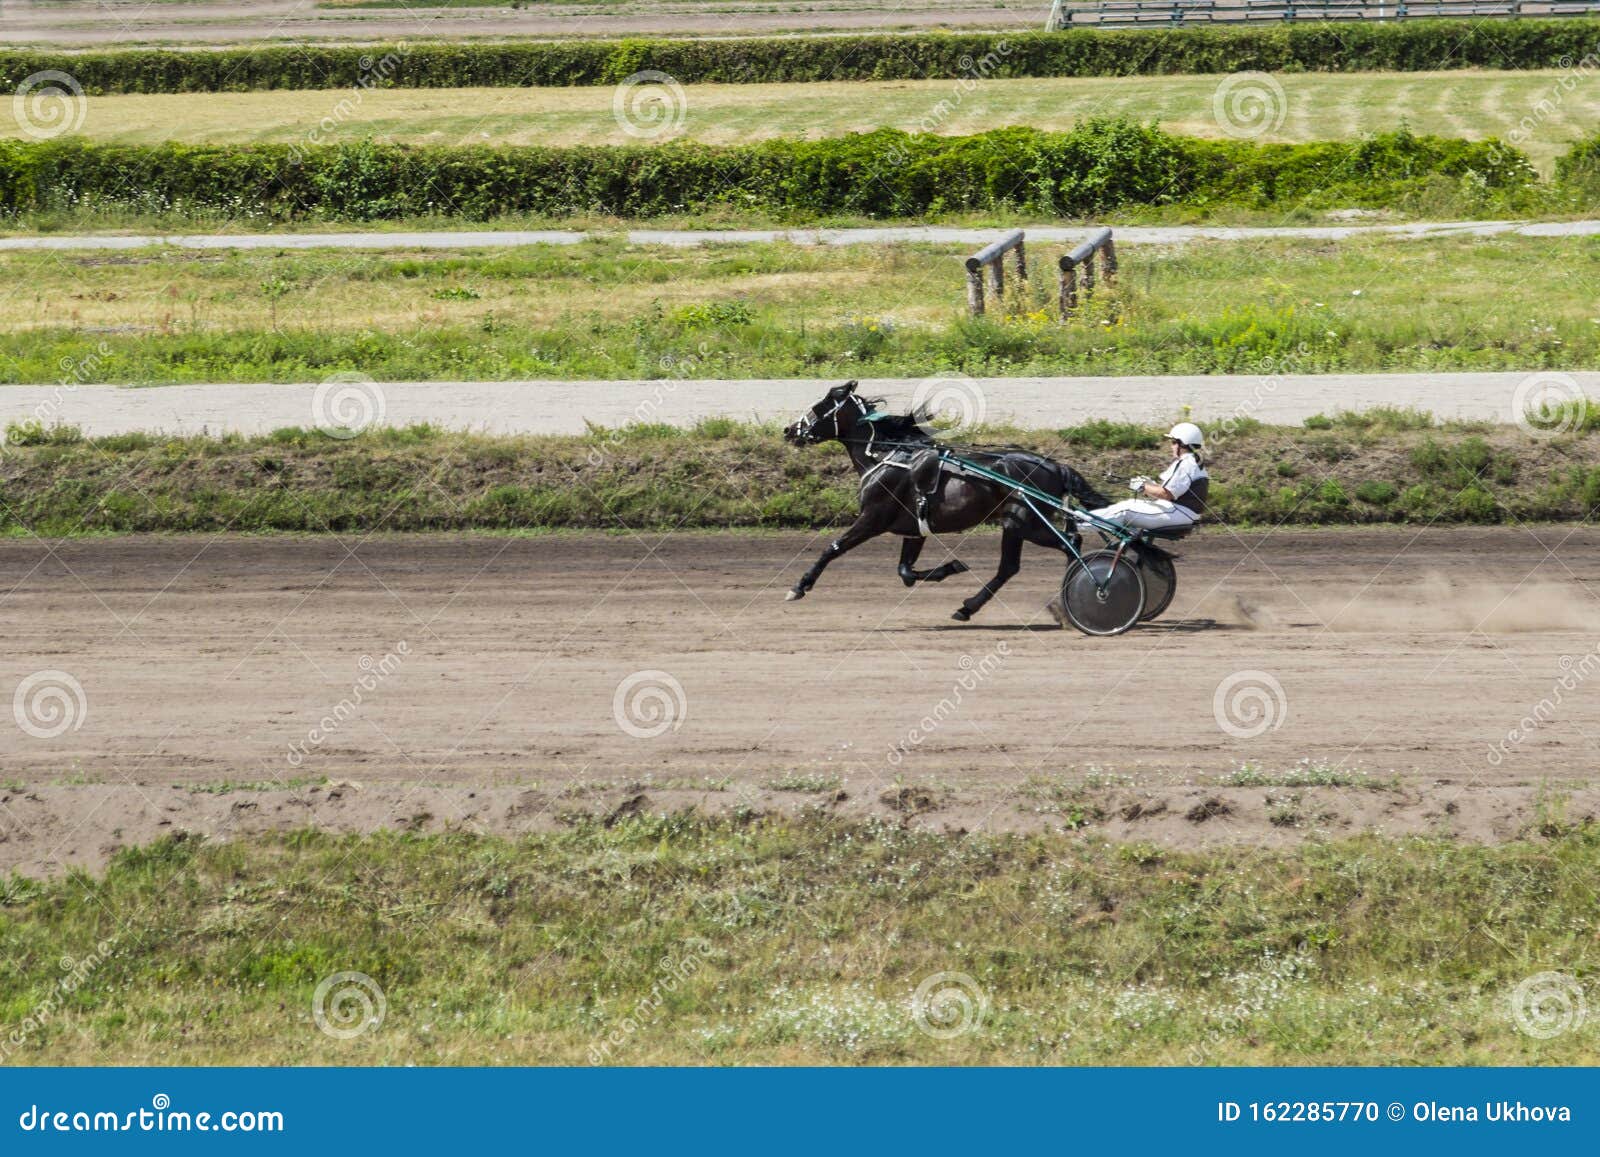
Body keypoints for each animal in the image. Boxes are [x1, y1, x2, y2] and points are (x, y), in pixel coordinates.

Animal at [781, 381, 1109, 621]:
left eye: (819, 407)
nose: (789, 430)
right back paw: (969, 608)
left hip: (1024, 521)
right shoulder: (914, 528)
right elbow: (905, 572)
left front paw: (800, 586)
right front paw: (951, 567)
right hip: (1016, 523)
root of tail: (1055, 466)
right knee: (1013, 566)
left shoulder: (873, 519)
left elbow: (832, 548)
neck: (885, 454)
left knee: (1069, 543)